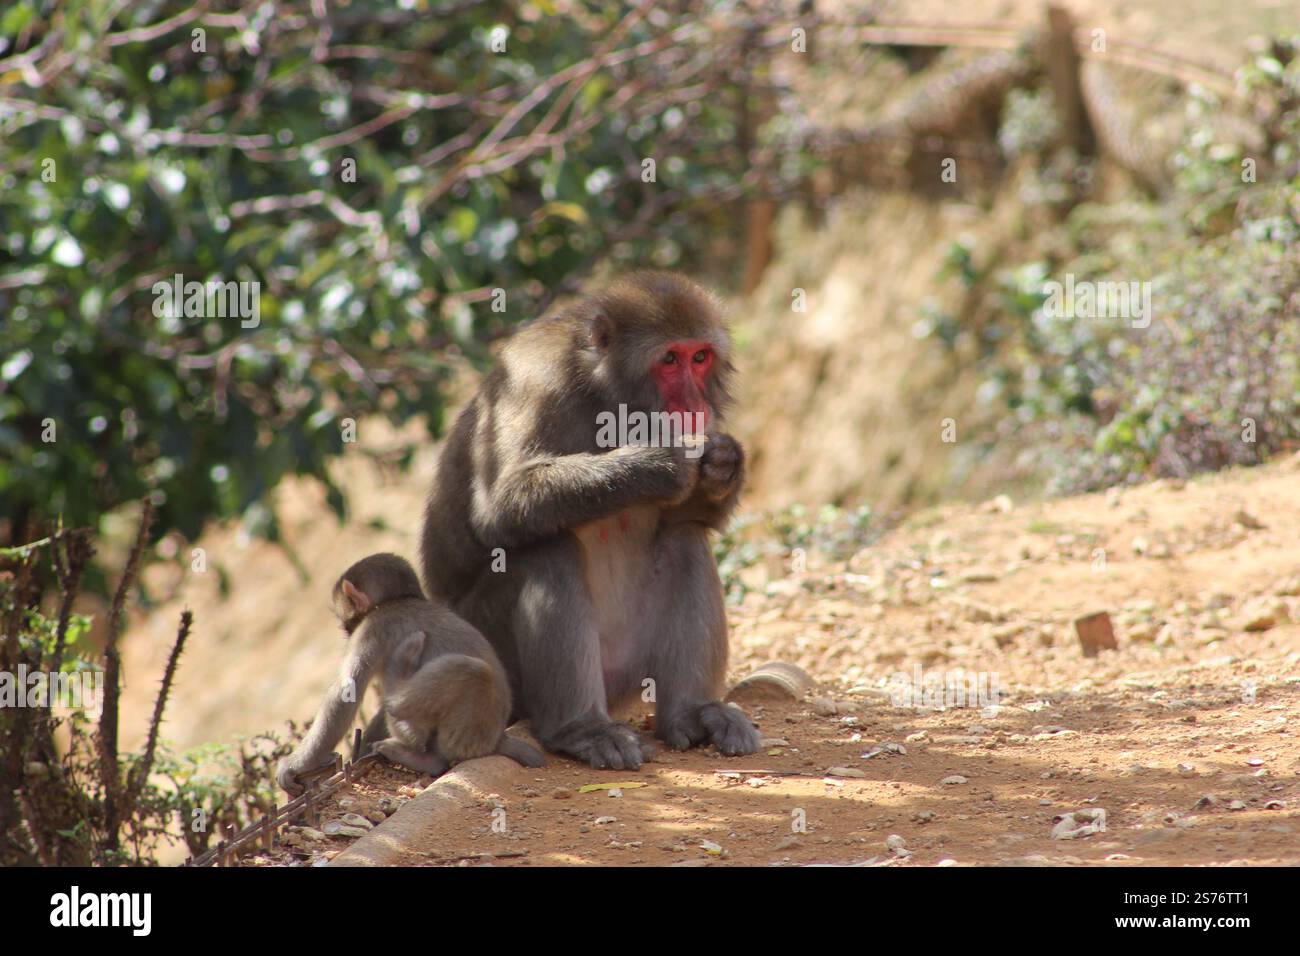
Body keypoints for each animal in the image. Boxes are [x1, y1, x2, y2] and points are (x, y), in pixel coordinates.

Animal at [275, 553, 543, 796]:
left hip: (463, 733)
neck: (396, 601)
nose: (344, 630)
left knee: (473, 672)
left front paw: (293, 766)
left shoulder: (372, 628)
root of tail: (495, 739)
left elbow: (345, 692)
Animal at [420, 271, 761, 771]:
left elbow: (690, 516)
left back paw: (694, 712)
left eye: (700, 358)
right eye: (670, 359)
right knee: (546, 549)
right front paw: (660, 464)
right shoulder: (536, 382)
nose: (695, 404)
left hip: (627, 671)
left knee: (685, 540)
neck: (606, 398)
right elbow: (499, 504)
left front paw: (723, 462)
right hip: (493, 666)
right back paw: (581, 728)